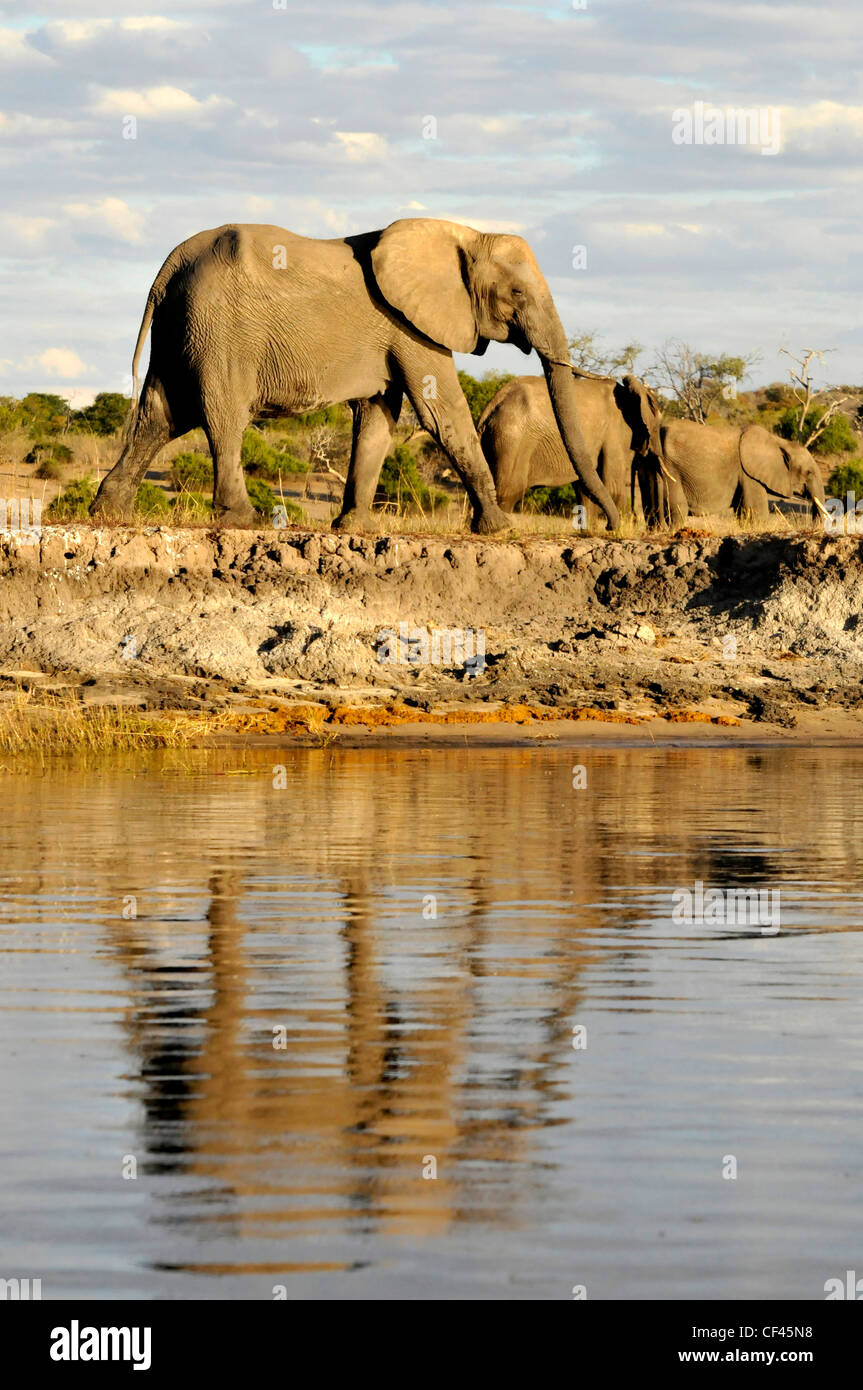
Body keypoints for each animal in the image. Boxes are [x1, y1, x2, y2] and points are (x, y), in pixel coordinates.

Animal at [92, 218, 620, 533]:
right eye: (516, 293)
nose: (615, 526)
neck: (464, 234)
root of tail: (169, 266)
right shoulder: (411, 327)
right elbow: (441, 413)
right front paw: (498, 529)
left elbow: (378, 419)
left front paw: (354, 529)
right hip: (220, 329)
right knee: (223, 418)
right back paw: (245, 521)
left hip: (183, 326)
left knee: (160, 416)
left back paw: (109, 512)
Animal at [477, 371, 662, 518]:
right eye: (658, 426)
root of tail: (491, 406)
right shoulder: (615, 432)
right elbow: (613, 488)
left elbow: (586, 492)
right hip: (512, 442)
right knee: (508, 492)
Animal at [647, 420, 827, 526]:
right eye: (809, 472)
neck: (779, 442)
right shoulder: (749, 474)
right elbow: (757, 514)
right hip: (672, 466)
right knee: (678, 510)